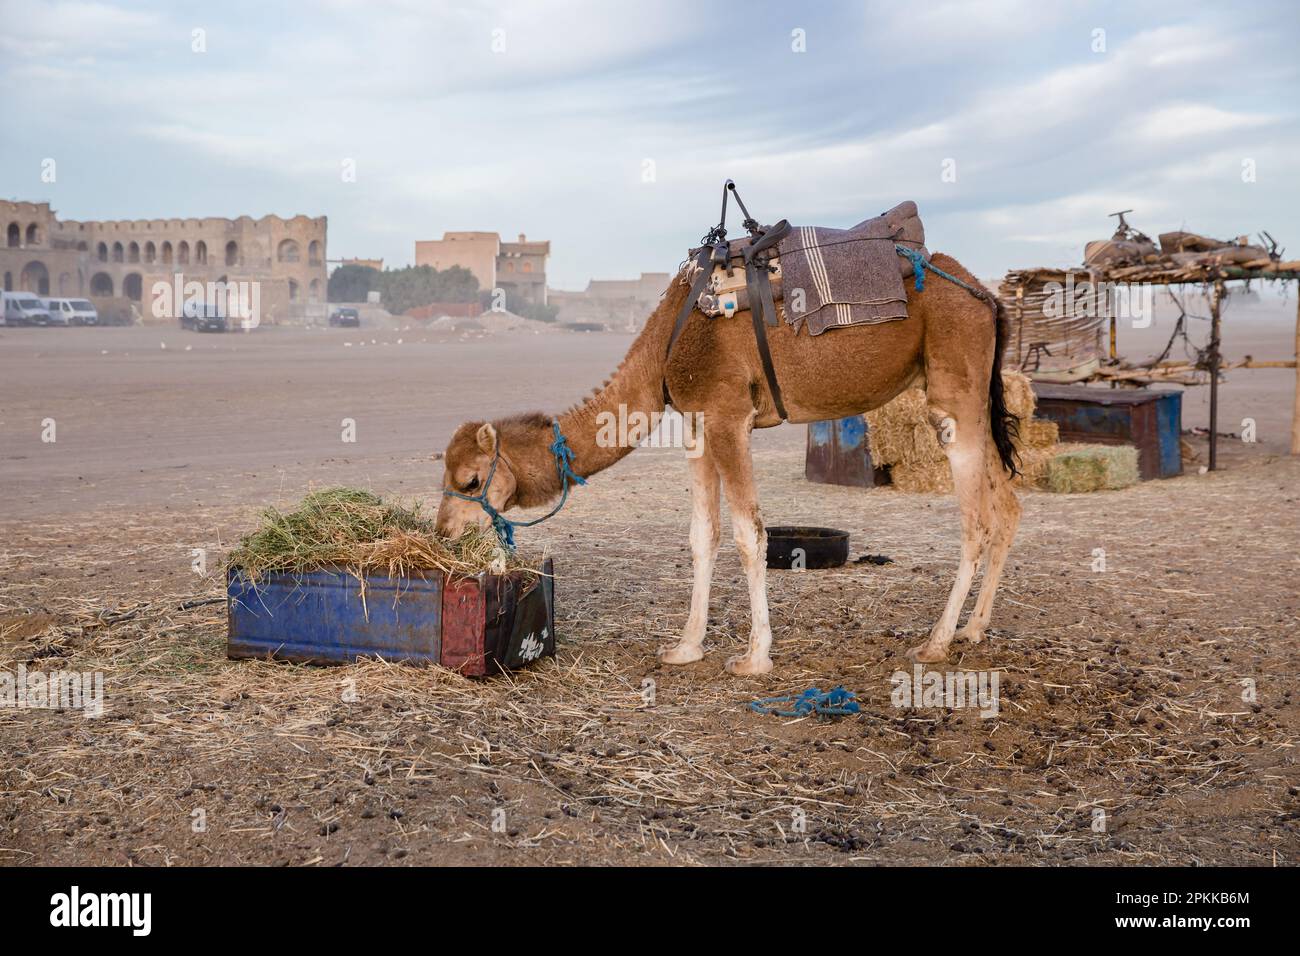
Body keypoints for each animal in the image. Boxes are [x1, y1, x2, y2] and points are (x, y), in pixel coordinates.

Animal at [435, 249, 1021, 674]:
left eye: (470, 479)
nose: (443, 529)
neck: (663, 348)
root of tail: (989, 299)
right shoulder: (697, 425)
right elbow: (703, 534)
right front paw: (685, 647)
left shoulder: (727, 415)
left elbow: (749, 533)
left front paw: (755, 657)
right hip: (969, 400)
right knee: (1008, 504)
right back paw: (974, 628)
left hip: (953, 393)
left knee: (976, 520)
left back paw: (936, 643)